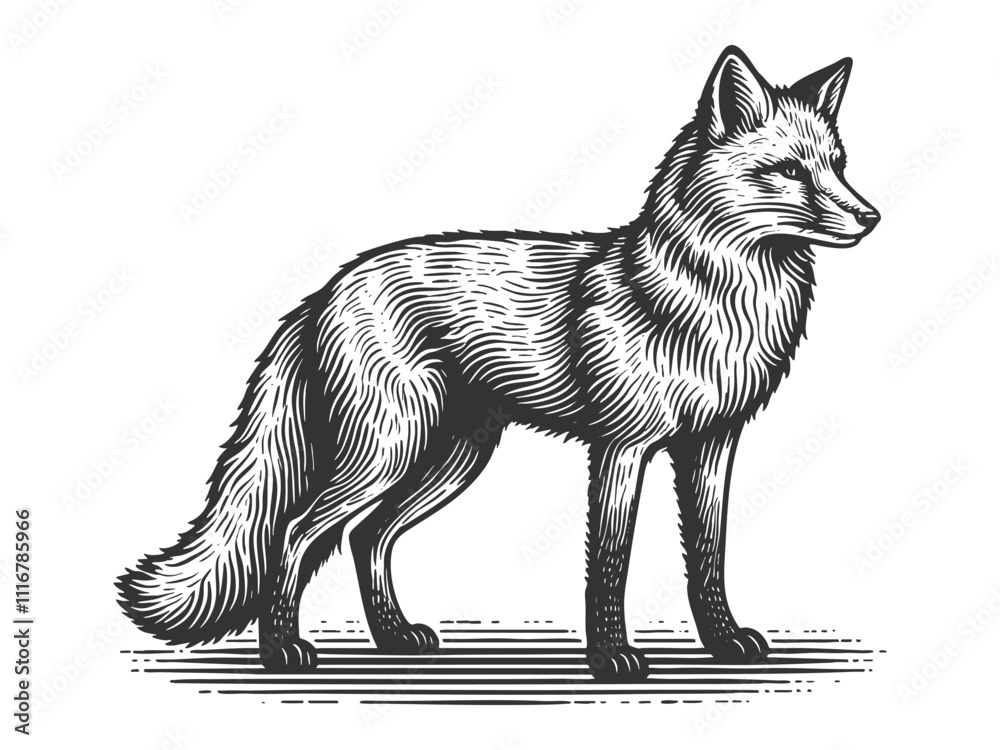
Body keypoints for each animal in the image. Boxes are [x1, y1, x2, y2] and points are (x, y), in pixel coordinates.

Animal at [118, 46, 879, 680]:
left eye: (838, 166)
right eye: (788, 171)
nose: (871, 217)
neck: (715, 301)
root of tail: (327, 286)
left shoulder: (711, 446)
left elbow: (709, 561)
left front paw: (722, 643)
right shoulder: (621, 448)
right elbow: (610, 565)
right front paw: (611, 658)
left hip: (449, 459)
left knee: (366, 537)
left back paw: (392, 636)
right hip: (389, 453)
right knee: (296, 534)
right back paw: (283, 651)